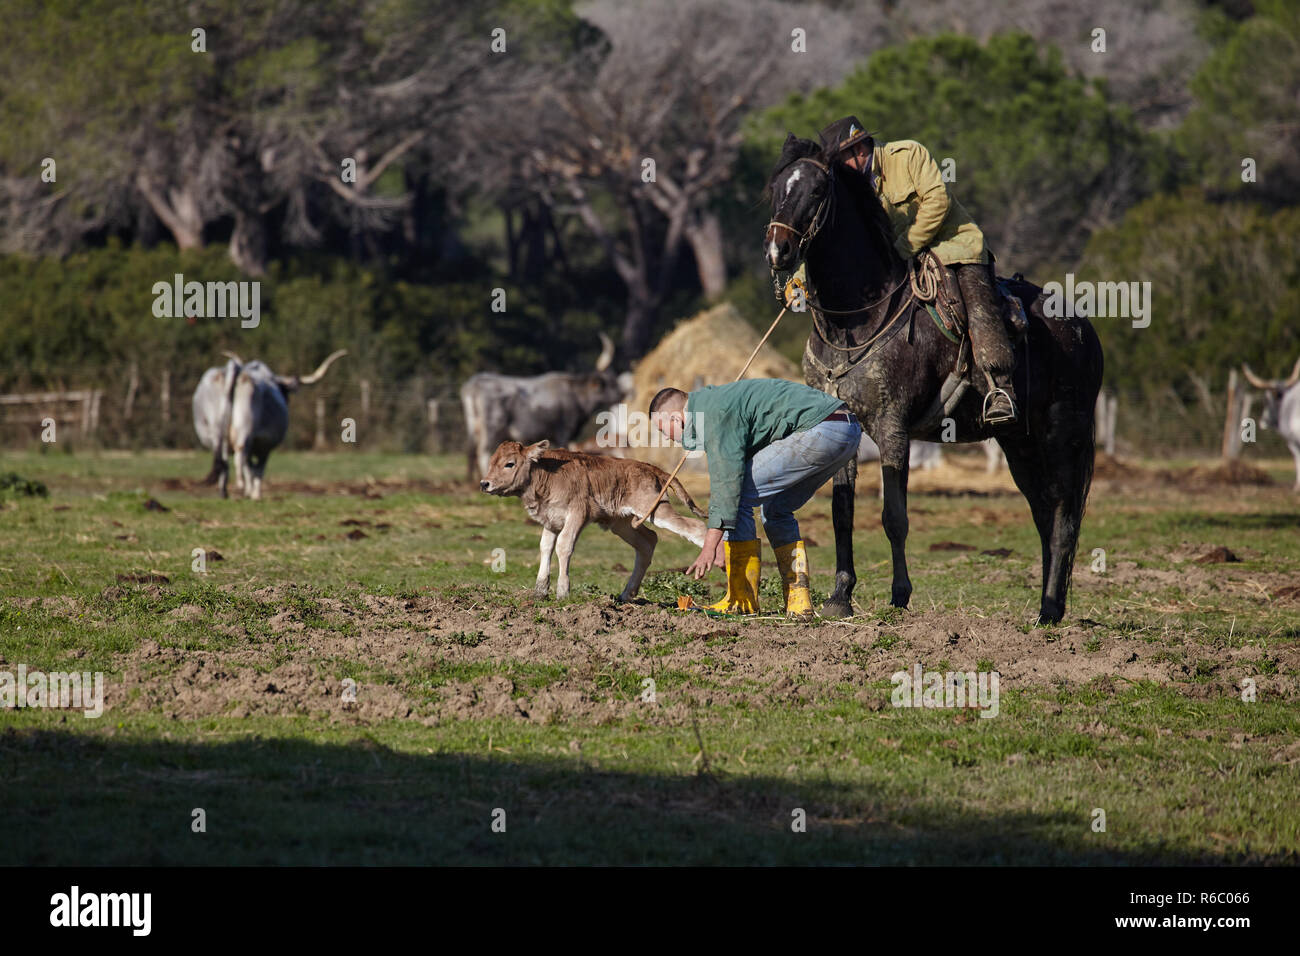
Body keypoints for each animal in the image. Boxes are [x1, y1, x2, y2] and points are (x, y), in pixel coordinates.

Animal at [193, 350, 347, 499]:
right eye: (284, 391)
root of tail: (235, 369)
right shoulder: (266, 447)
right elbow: (257, 470)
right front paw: (255, 494)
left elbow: (250, 468)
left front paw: (250, 492)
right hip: (244, 428)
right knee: (238, 455)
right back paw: (240, 485)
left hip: (216, 431)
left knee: (223, 460)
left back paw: (224, 492)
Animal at [461, 332, 632, 480]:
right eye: (610, 383)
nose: (623, 394)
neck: (574, 394)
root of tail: (474, 384)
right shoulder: (564, 432)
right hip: (491, 428)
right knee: (482, 451)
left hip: (473, 426)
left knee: (470, 451)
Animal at [479, 439, 707, 603]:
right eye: (491, 462)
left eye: (510, 464)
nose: (484, 483)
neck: (548, 474)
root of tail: (652, 468)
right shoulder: (551, 520)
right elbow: (545, 547)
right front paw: (540, 591)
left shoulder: (578, 514)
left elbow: (564, 546)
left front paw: (563, 592)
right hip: (622, 523)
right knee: (648, 541)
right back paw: (626, 594)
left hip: (656, 510)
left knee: (696, 528)